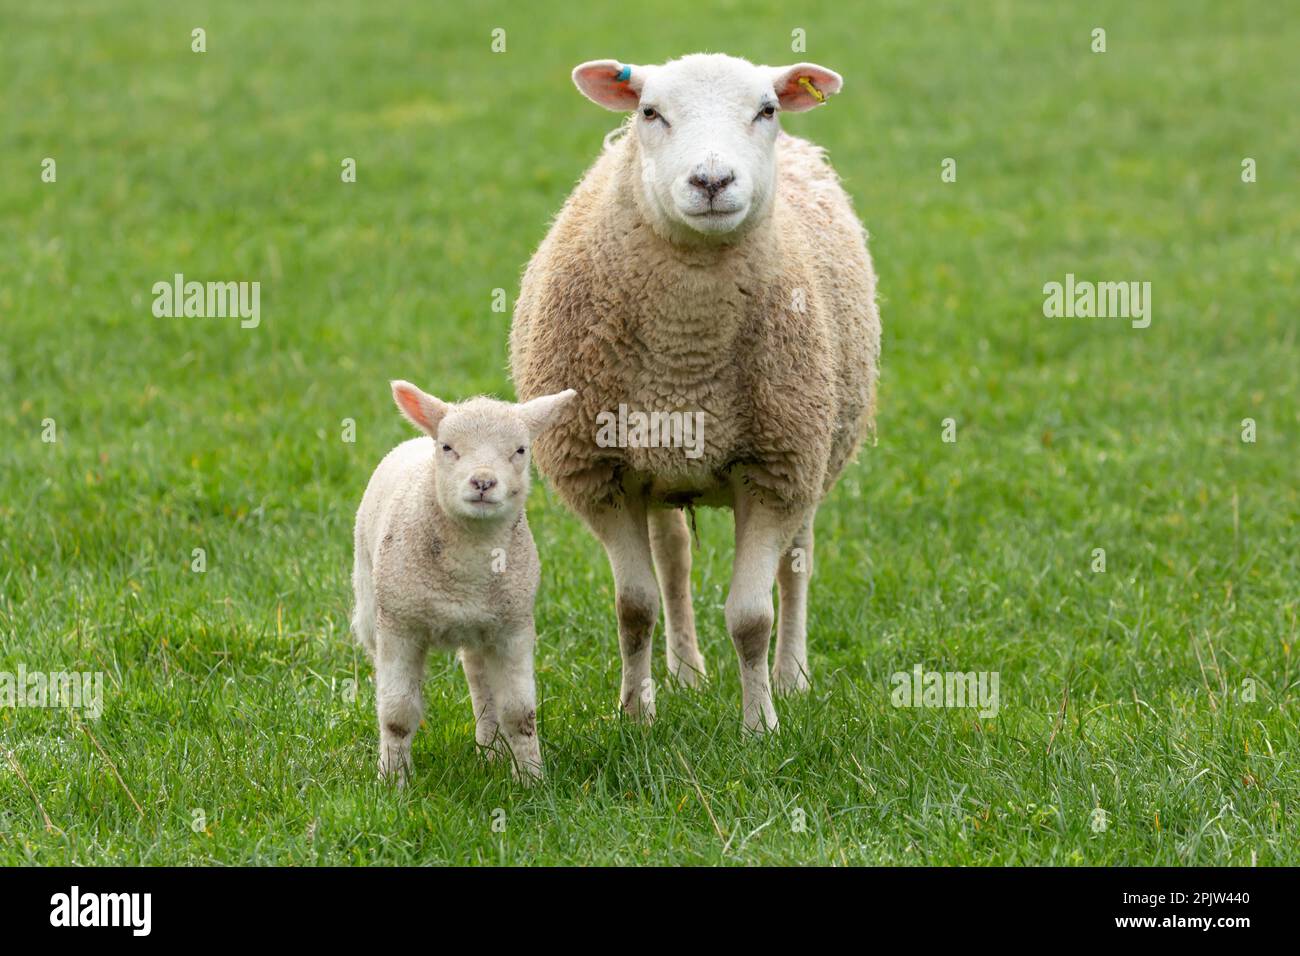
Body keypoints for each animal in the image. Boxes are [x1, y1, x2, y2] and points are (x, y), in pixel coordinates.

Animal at [351, 380, 577, 782]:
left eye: (520, 450)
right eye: (448, 447)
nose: (483, 481)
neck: (467, 572)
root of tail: (416, 439)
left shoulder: (513, 627)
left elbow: (519, 714)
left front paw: (532, 781)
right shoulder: (400, 625)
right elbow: (396, 716)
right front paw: (392, 782)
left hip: (482, 628)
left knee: (482, 688)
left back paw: (490, 754)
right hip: (369, 604)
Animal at [509, 53, 880, 733]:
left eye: (767, 109)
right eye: (649, 111)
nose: (712, 180)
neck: (685, 359)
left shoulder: (777, 468)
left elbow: (752, 617)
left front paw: (760, 726)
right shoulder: (603, 473)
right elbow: (634, 607)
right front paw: (635, 715)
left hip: (814, 451)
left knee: (796, 565)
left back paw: (792, 677)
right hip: (662, 468)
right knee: (675, 561)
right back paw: (684, 672)